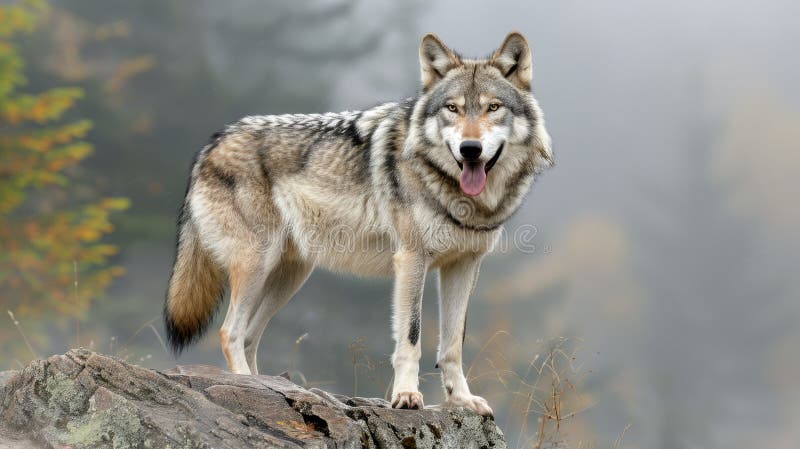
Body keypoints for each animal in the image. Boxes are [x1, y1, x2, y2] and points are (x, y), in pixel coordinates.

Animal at [164, 32, 552, 415]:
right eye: (452, 108)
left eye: (493, 108)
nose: (470, 148)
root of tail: (211, 144)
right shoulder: (411, 259)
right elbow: (411, 337)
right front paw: (407, 396)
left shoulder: (464, 265)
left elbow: (453, 344)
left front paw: (461, 400)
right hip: (258, 262)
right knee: (229, 332)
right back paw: (249, 385)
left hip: (290, 276)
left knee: (248, 336)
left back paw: (269, 388)